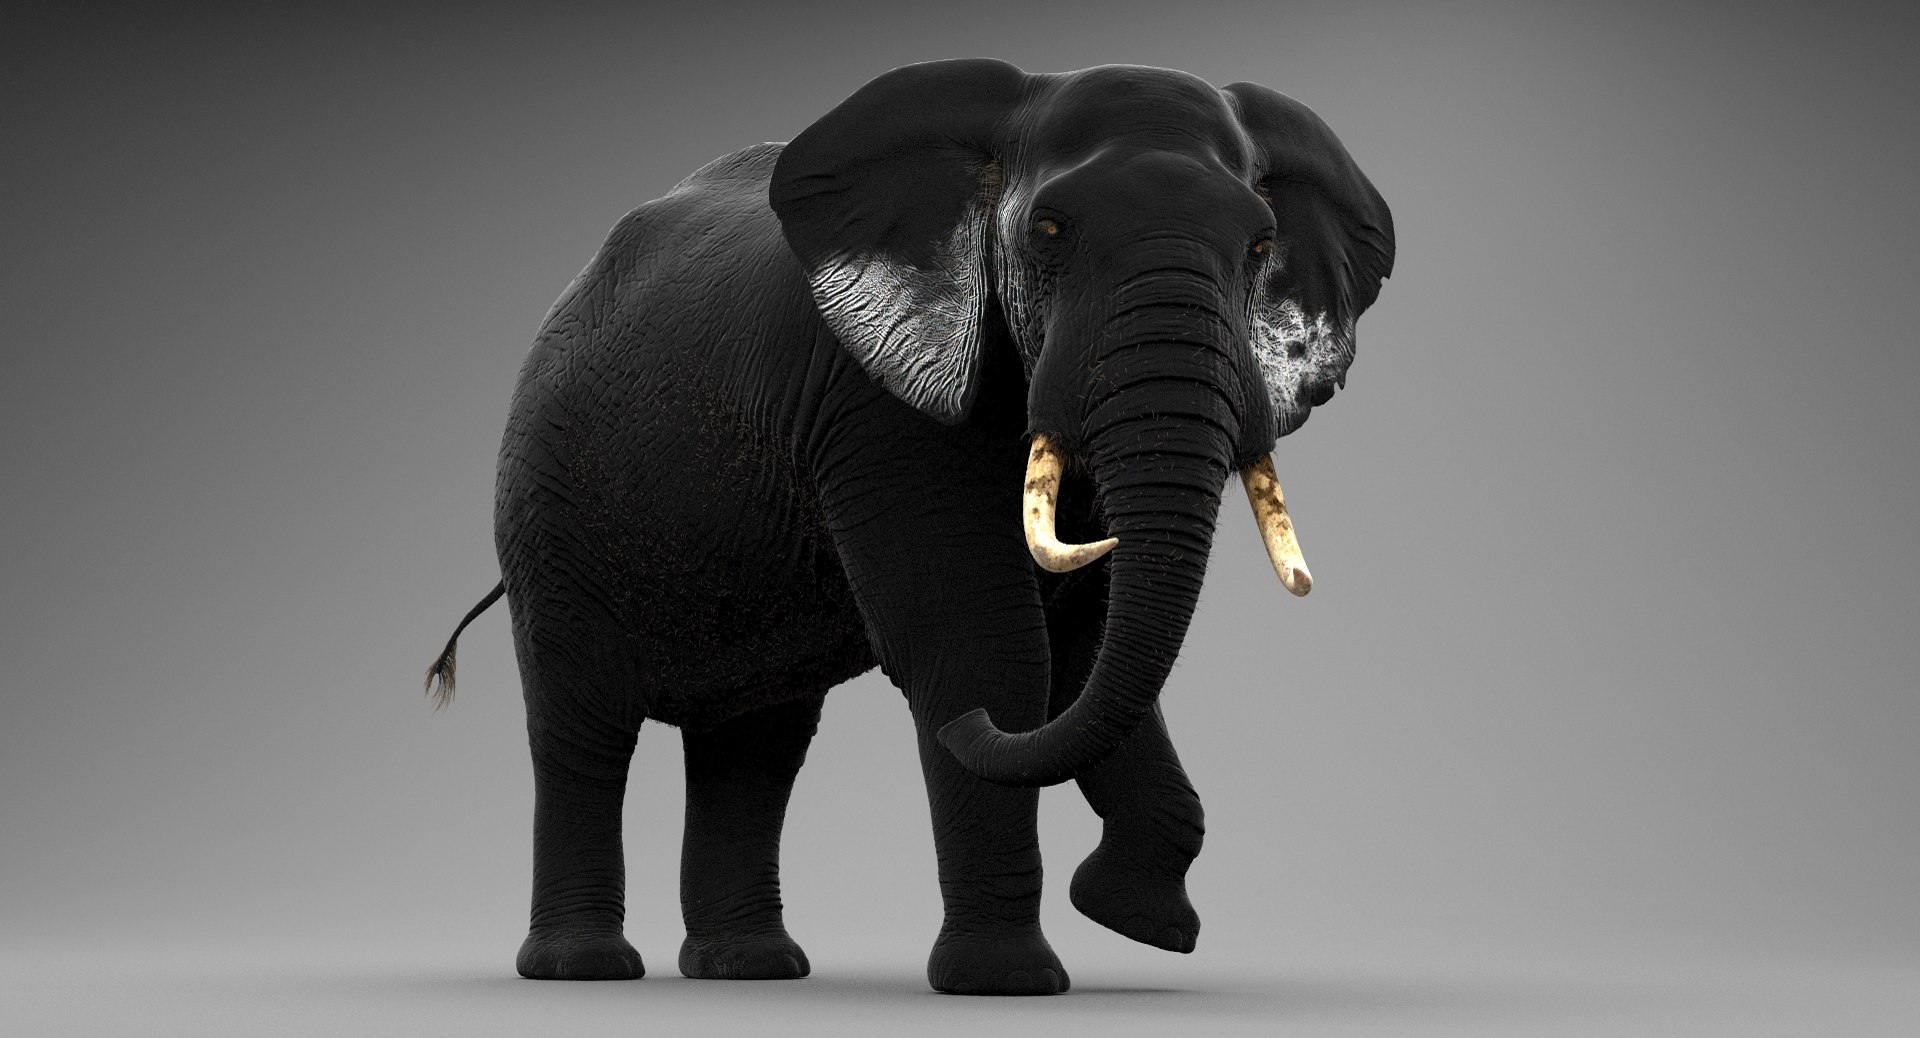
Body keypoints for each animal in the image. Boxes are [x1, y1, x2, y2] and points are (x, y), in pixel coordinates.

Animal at [425, 58, 1392, 995]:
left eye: (1261, 245)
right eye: (1048, 232)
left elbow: (1082, 650)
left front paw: (1135, 919)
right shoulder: (877, 402)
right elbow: (985, 647)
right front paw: (1010, 983)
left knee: (756, 746)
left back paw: (752, 968)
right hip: (549, 504)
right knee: (581, 731)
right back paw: (584, 968)